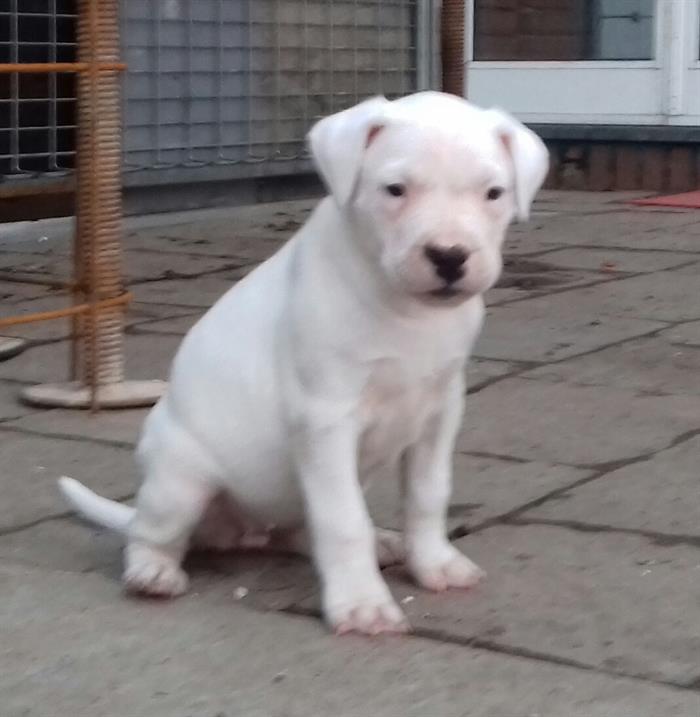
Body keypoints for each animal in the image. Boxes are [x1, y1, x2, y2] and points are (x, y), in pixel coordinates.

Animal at [57, 89, 548, 632]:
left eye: (494, 193)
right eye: (395, 190)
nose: (449, 256)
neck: (403, 307)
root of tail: (247, 530)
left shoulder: (440, 411)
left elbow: (427, 493)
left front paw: (435, 564)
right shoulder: (326, 419)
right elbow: (342, 518)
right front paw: (360, 603)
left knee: (299, 529)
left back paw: (381, 541)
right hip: (179, 482)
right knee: (152, 534)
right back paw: (152, 573)